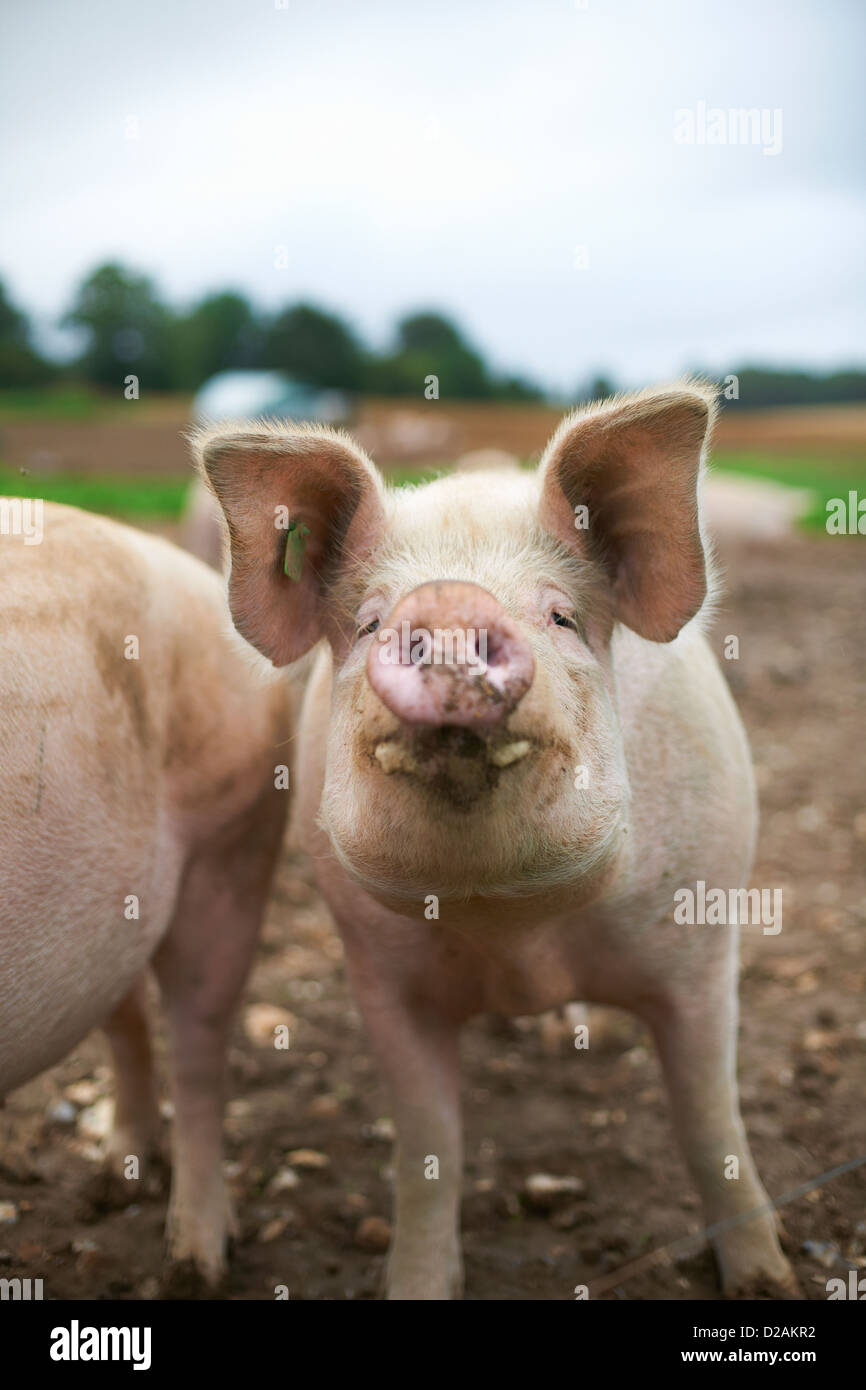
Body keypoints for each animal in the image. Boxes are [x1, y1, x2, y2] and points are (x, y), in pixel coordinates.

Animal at [195, 381, 797, 1300]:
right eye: (367, 623)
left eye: (562, 616)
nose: (446, 604)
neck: (515, 932)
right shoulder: (379, 978)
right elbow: (428, 1147)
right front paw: (414, 1284)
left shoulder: (702, 951)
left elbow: (708, 1124)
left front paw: (768, 1284)